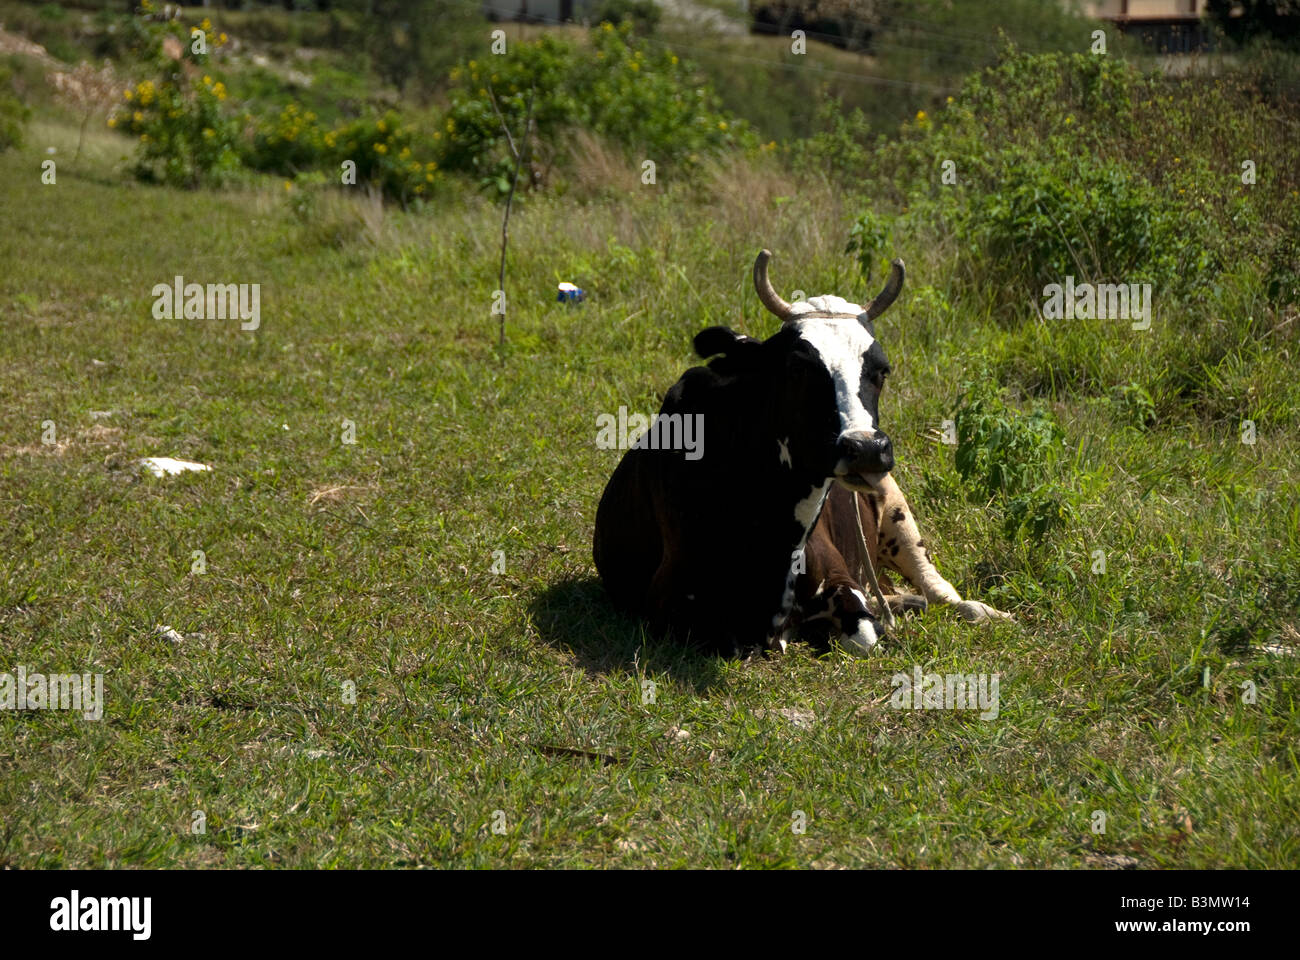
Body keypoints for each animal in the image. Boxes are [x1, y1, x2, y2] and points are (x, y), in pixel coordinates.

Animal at [592, 249, 1011, 657]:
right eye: (798, 367)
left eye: (882, 370)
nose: (866, 449)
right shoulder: (670, 602)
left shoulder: (843, 580)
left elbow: (866, 634)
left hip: (897, 511)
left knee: (938, 589)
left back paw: (984, 611)